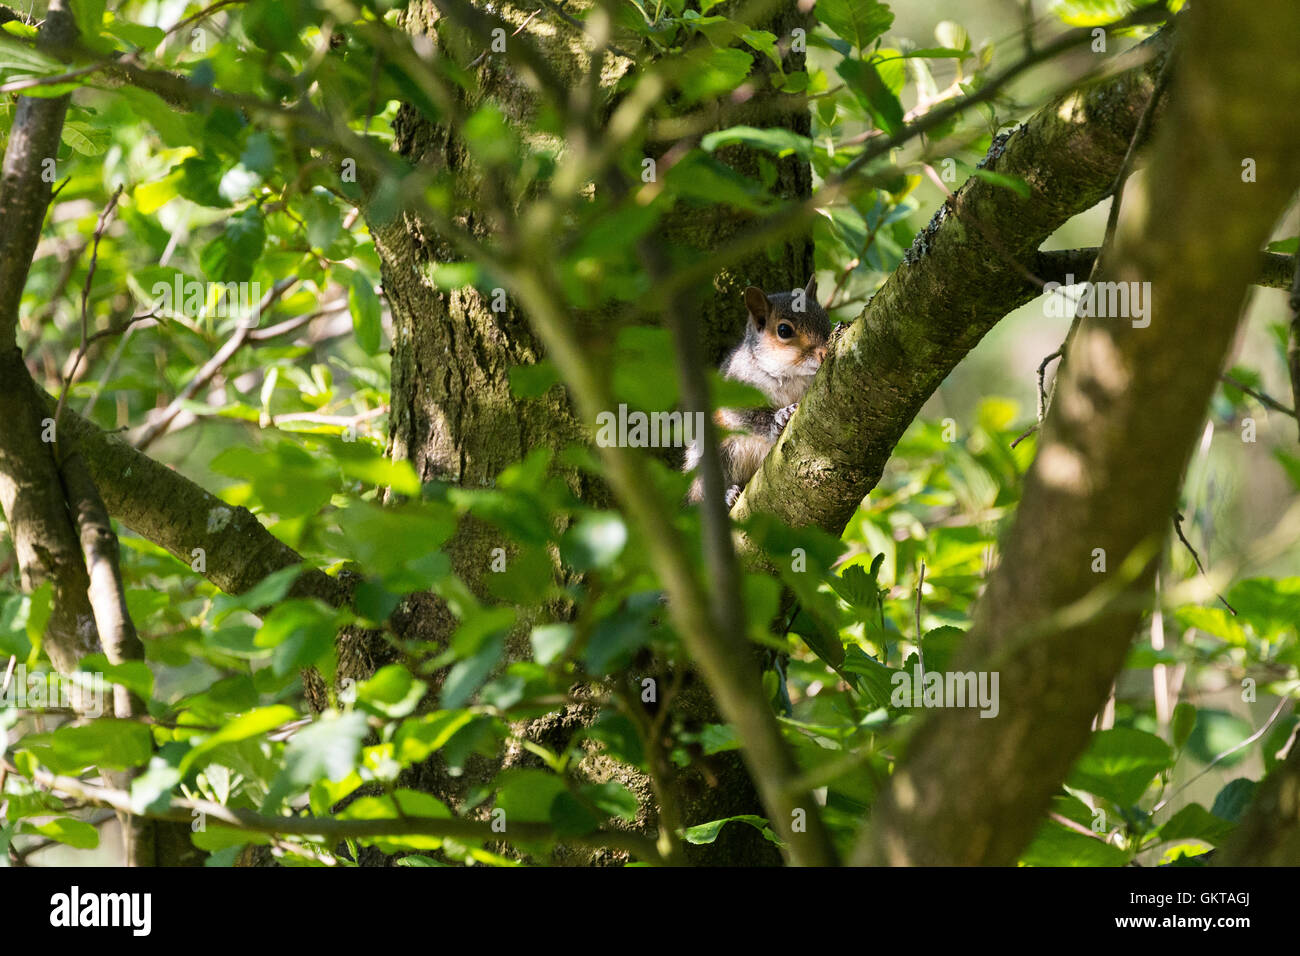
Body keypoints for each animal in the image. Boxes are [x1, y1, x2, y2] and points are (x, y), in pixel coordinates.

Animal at [686, 276, 831, 506]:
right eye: (784, 330)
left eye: (825, 319)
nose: (824, 352)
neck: (790, 375)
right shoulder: (734, 388)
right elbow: (748, 417)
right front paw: (780, 417)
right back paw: (728, 495)